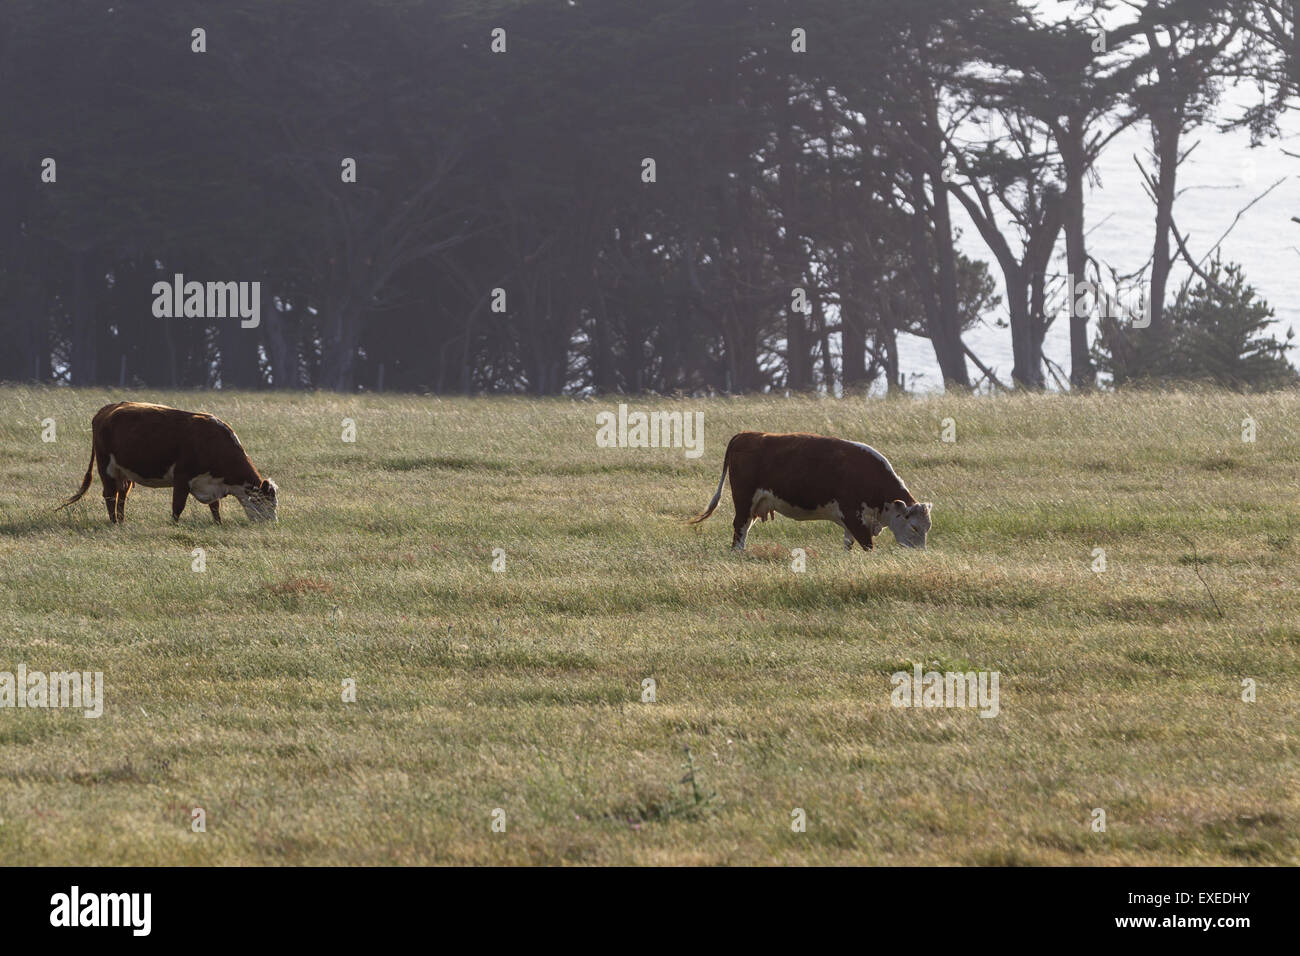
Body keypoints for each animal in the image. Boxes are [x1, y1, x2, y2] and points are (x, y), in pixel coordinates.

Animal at [56, 402, 278, 524]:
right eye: (266, 502)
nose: (272, 523)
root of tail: (107, 409)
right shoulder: (182, 477)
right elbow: (177, 506)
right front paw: (174, 524)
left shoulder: (210, 483)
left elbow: (215, 507)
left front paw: (218, 523)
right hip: (106, 467)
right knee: (110, 495)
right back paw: (113, 521)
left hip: (123, 472)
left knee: (122, 494)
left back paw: (121, 521)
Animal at [689, 431, 931, 552]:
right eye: (914, 527)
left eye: (927, 527)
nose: (919, 554)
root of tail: (746, 435)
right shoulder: (853, 516)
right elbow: (867, 545)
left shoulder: (854, 521)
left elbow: (848, 544)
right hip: (744, 500)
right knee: (739, 528)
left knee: (745, 527)